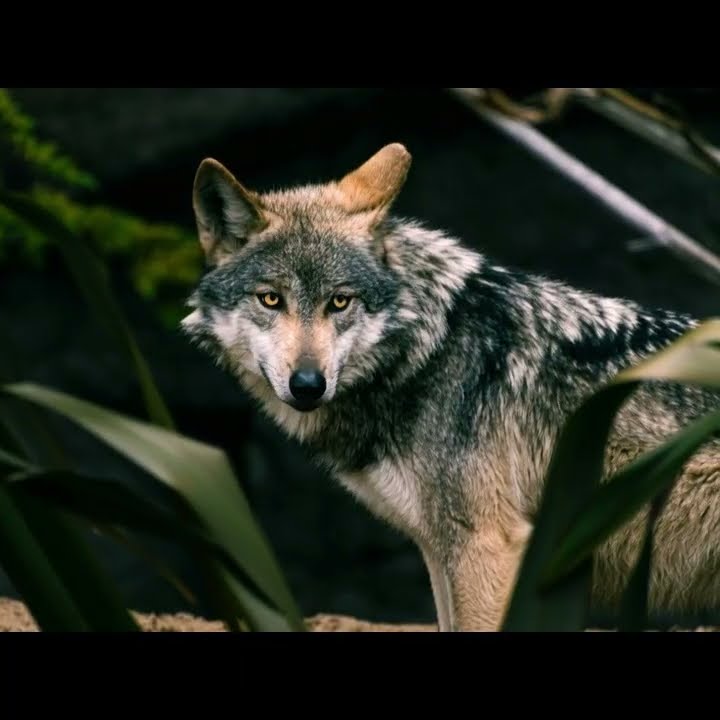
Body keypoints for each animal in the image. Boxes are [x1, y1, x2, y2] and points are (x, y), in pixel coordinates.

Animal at [182, 143, 720, 631]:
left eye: (339, 302)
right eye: (271, 299)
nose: (309, 385)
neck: (427, 348)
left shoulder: (486, 545)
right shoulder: (438, 549)